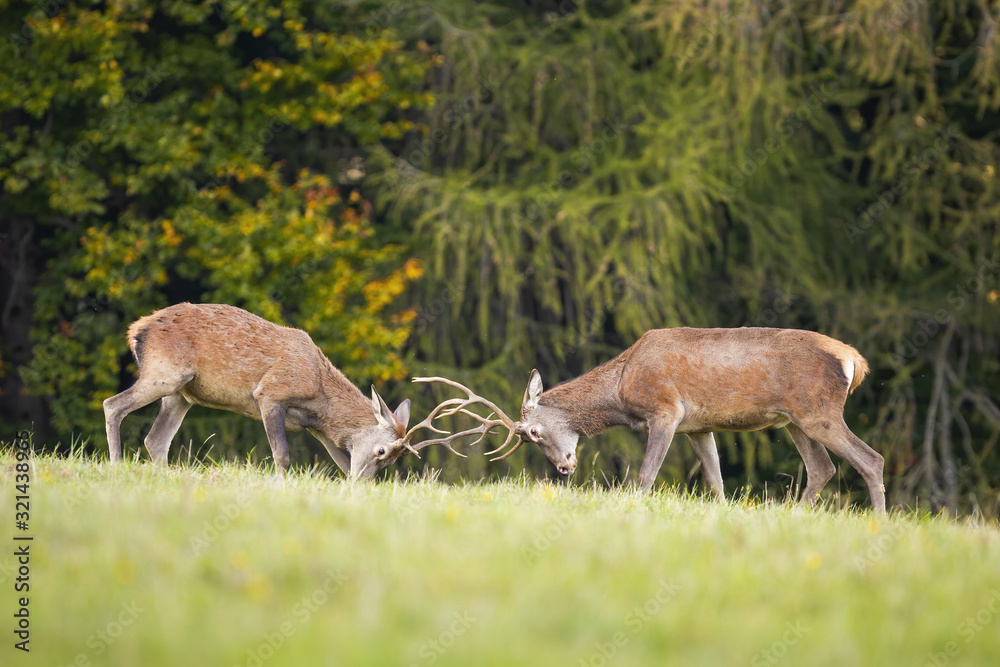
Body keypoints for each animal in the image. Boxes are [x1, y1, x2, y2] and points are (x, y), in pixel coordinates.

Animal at [103, 303, 484, 478]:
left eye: (393, 459)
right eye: (382, 451)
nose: (364, 483)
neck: (318, 395)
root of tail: (136, 329)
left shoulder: (318, 429)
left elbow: (340, 462)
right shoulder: (270, 394)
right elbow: (283, 455)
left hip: (181, 393)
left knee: (155, 439)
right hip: (165, 374)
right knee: (112, 404)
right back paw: (117, 464)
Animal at [414, 327, 885, 513]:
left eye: (533, 432)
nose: (564, 467)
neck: (621, 389)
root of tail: (854, 361)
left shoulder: (667, 411)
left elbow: (645, 475)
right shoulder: (698, 426)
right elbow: (714, 479)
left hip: (818, 411)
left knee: (871, 459)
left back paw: (878, 521)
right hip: (792, 420)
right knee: (823, 468)